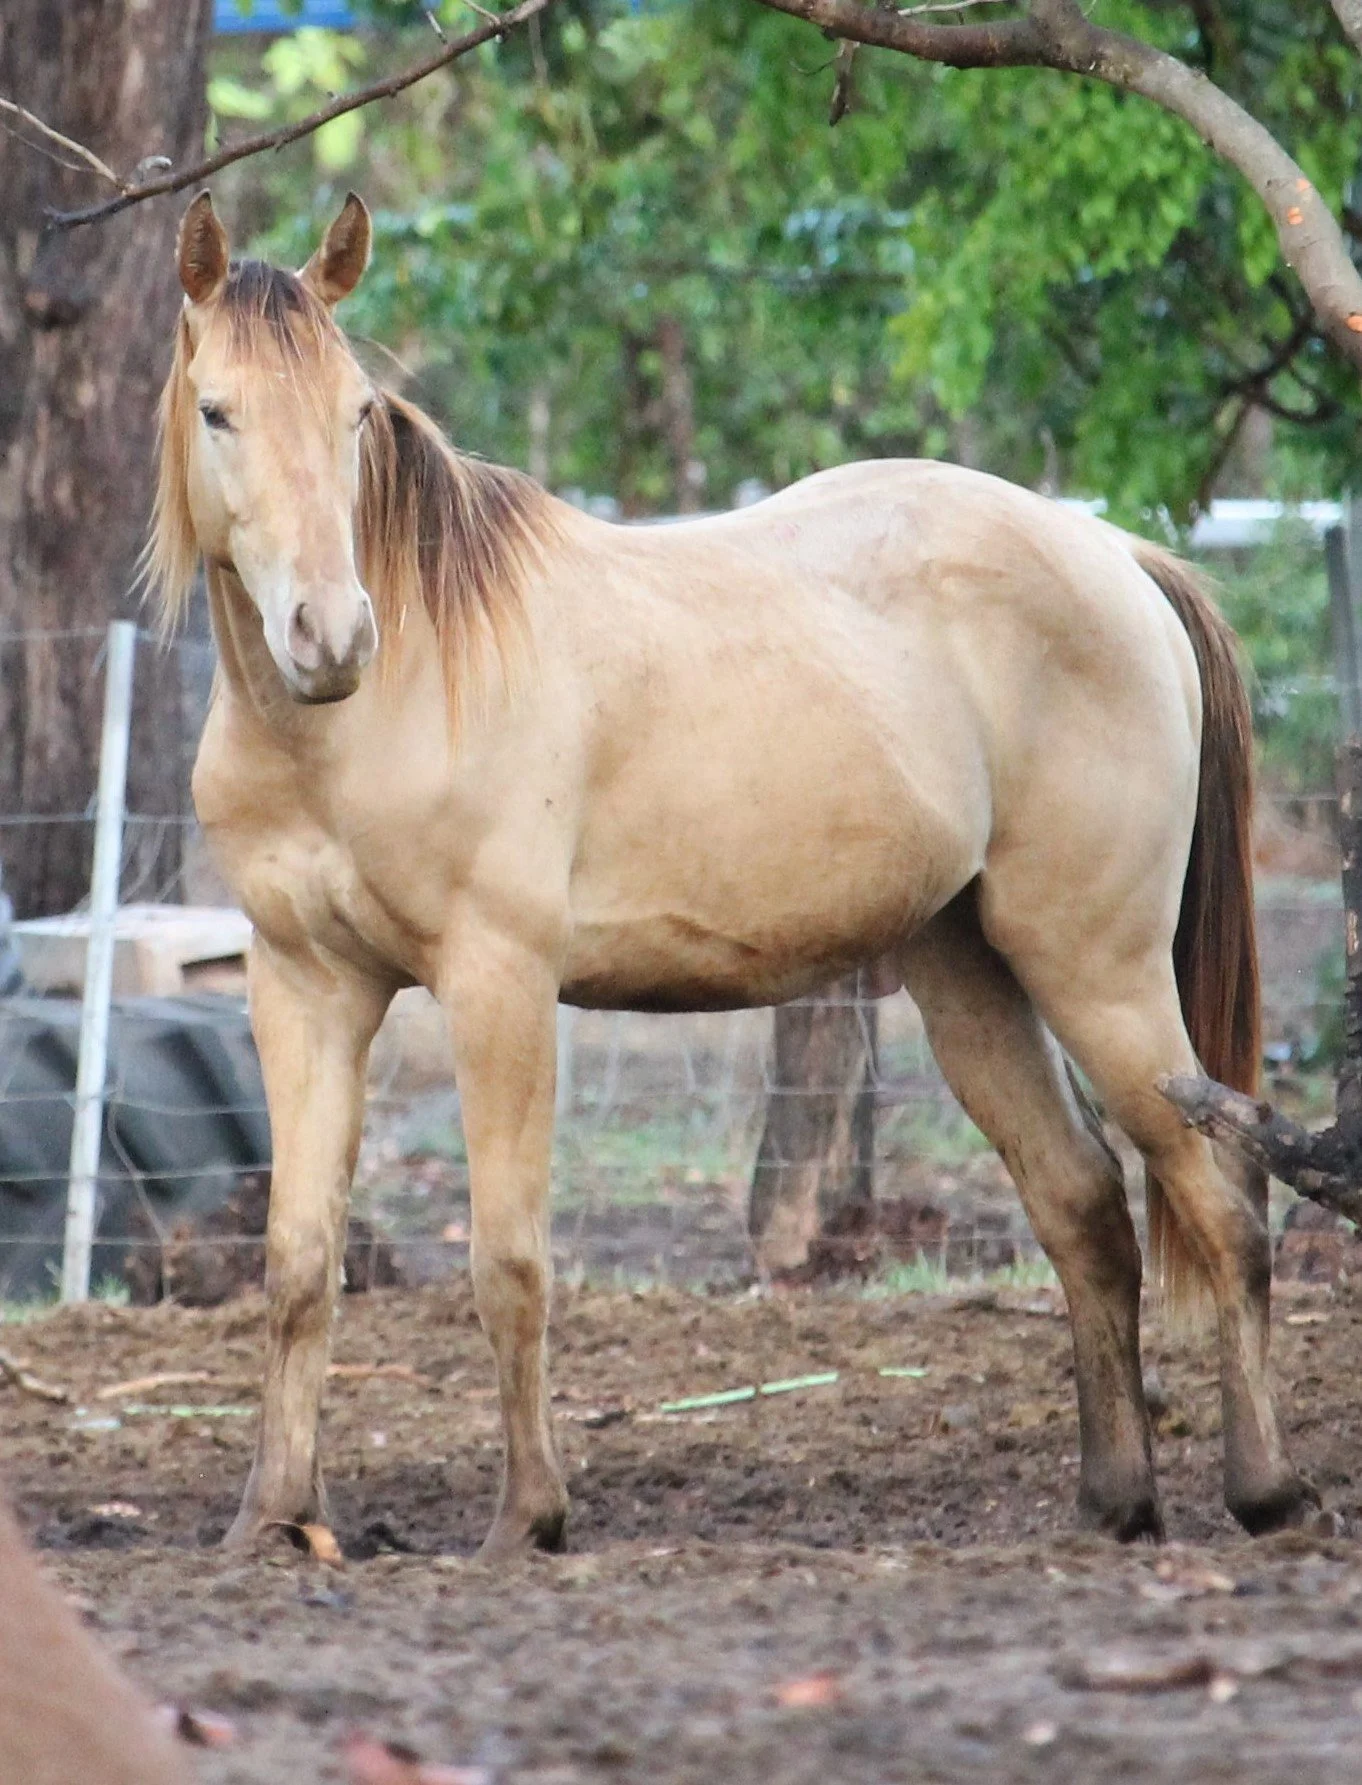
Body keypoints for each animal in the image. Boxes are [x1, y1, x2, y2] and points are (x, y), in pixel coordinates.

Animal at [149, 189, 1315, 1558]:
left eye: (355, 413)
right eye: (217, 411)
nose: (331, 638)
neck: (361, 720)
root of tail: (1121, 561)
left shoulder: (499, 985)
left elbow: (509, 1264)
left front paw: (528, 1519)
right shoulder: (305, 990)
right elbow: (295, 1268)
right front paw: (272, 1520)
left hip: (1102, 973)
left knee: (1223, 1194)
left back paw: (1267, 1489)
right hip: (970, 974)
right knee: (1084, 1210)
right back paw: (1113, 1501)